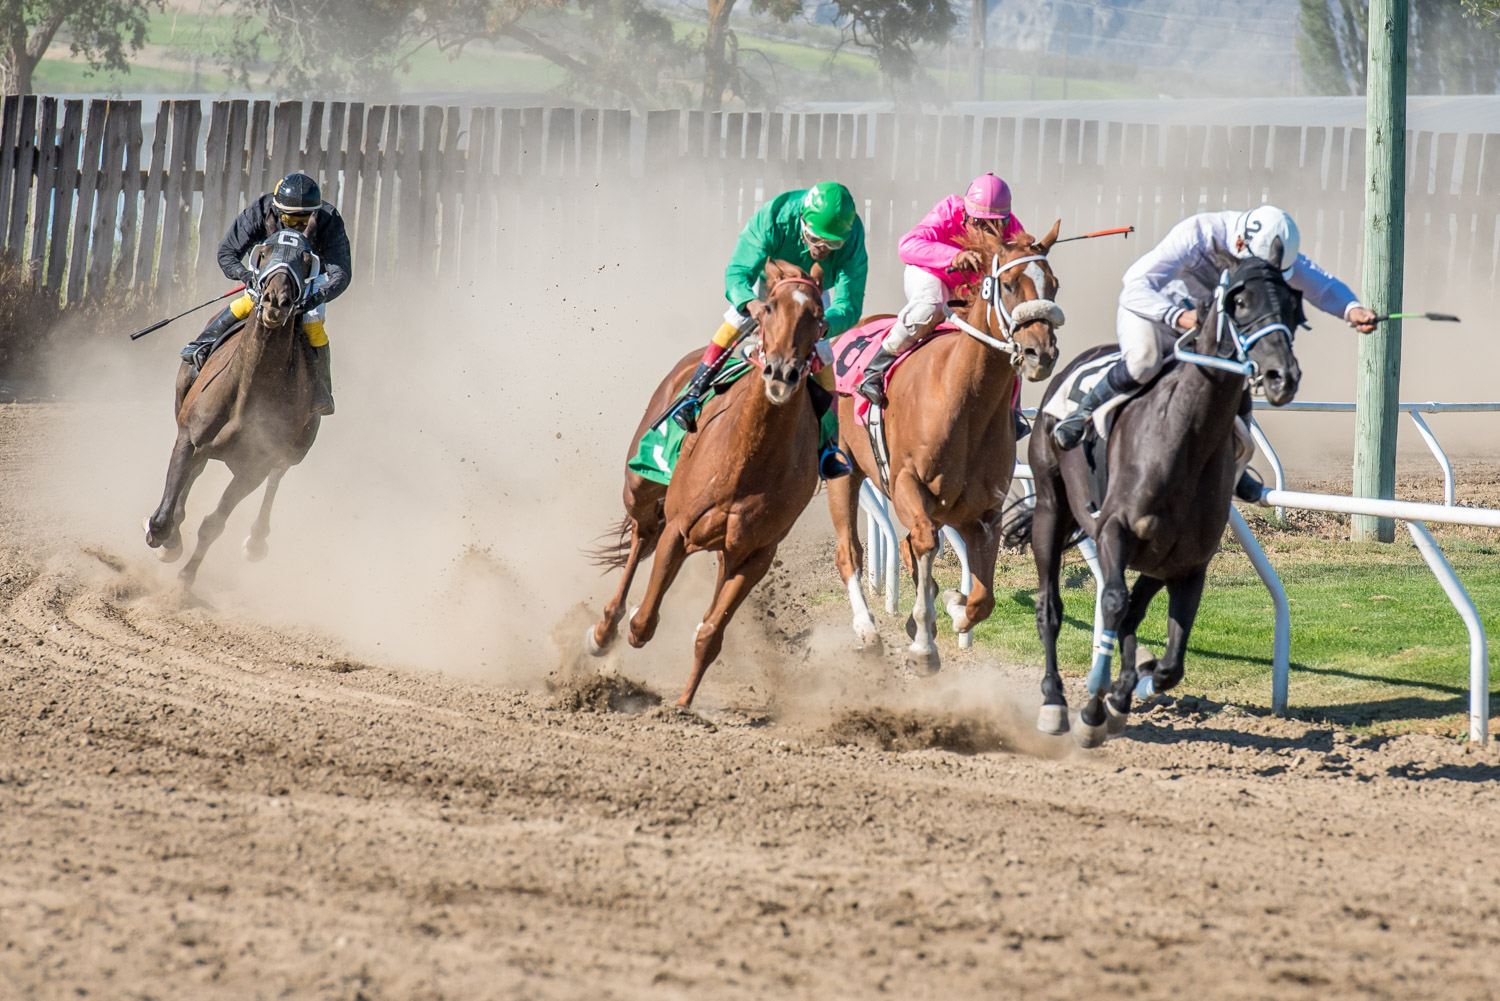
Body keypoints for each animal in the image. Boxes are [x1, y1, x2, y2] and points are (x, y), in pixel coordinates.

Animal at [143, 229, 323, 589]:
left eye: (306, 259)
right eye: (263, 252)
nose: (276, 301)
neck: (246, 396)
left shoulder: (255, 467)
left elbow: (214, 523)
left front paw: (187, 577)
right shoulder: (188, 436)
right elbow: (164, 515)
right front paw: (167, 540)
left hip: (298, 447)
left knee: (278, 475)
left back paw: (256, 541)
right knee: (194, 472)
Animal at [585, 260, 826, 707]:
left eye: (818, 318)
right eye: (770, 307)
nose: (781, 373)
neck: (750, 460)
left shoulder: (756, 554)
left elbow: (710, 633)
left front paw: (683, 704)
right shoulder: (679, 529)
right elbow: (645, 621)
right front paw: (628, 627)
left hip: (725, 550)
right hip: (640, 489)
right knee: (641, 538)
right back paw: (603, 631)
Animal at [827, 222, 1063, 674]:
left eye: (1054, 285)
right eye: (1008, 283)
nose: (1039, 353)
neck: (964, 400)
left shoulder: (985, 511)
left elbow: (984, 598)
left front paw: (954, 607)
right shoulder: (906, 482)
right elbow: (922, 544)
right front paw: (923, 644)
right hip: (844, 471)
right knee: (850, 550)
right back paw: (866, 629)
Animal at [1019, 255, 1302, 747]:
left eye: (1291, 306)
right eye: (1240, 302)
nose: (1281, 376)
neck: (1183, 440)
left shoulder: (1188, 562)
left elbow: (1170, 663)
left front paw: (1131, 687)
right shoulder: (1113, 531)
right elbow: (1113, 604)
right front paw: (1094, 708)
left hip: (1154, 558)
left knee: (1133, 611)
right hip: (1052, 508)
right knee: (1050, 608)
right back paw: (1054, 701)